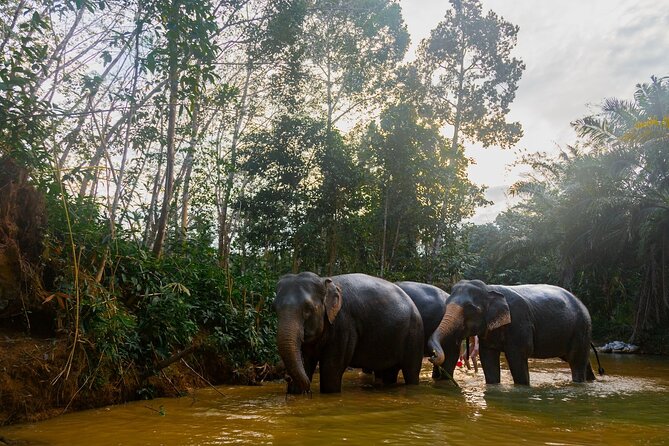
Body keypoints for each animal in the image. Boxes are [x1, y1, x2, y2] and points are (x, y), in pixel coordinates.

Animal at [274, 272, 424, 394]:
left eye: (308, 309)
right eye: (274, 308)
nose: (287, 378)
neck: (325, 281)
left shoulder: (344, 324)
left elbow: (331, 368)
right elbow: (305, 359)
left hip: (414, 334)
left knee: (411, 371)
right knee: (389, 372)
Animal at [428, 279, 604, 385]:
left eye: (471, 309)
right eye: (446, 303)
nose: (432, 356)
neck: (489, 289)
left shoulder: (519, 323)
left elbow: (517, 356)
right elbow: (488, 357)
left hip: (581, 328)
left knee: (576, 361)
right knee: (579, 359)